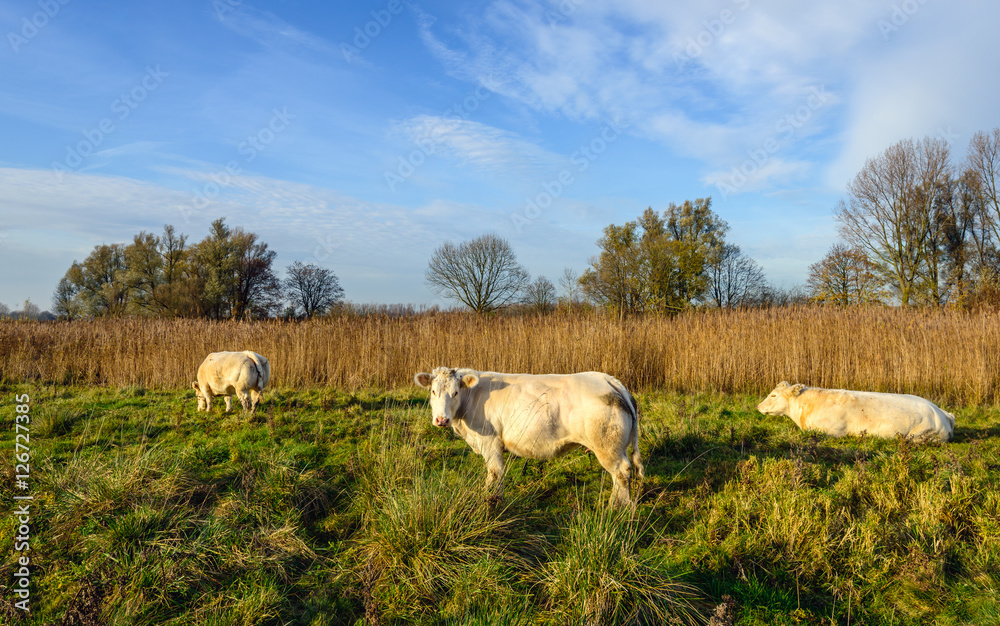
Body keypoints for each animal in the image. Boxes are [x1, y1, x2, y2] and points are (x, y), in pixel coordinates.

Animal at [413, 367, 644, 507]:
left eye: (455, 392)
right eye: (433, 391)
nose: (441, 419)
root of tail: (608, 380)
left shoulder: (490, 441)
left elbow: (495, 473)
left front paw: (491, 500)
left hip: (607, 447)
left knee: (622, 472)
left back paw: (618, 507)